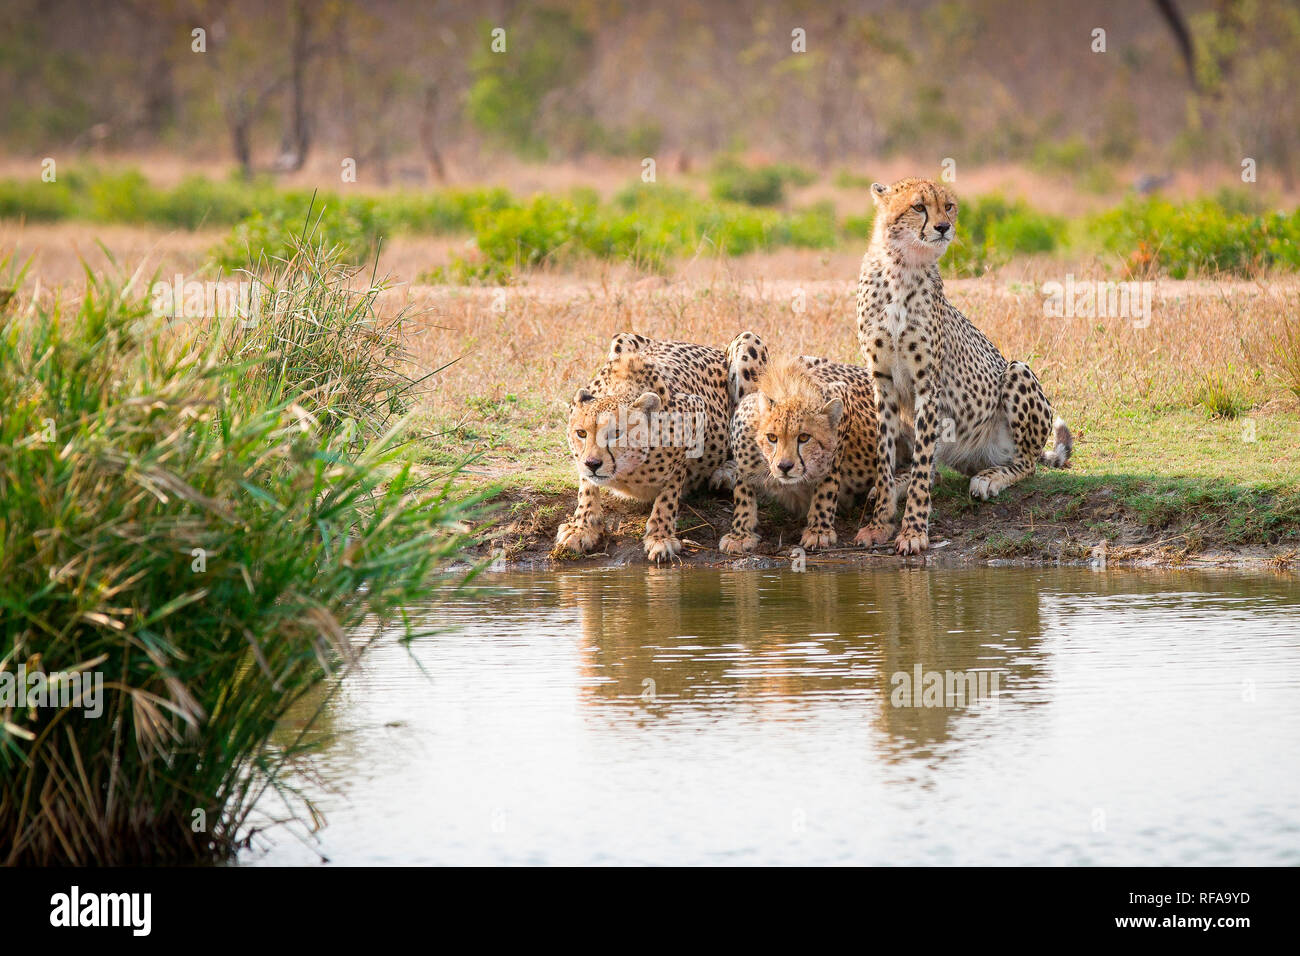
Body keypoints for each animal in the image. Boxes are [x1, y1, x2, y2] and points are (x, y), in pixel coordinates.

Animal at [555, 331, 767, 561]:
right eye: (581, 433)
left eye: (616, 433)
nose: (593, 463)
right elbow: (586, 488)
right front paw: (582, 527)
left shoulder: (694, 413)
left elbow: (669, 493)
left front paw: (660, 536)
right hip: (623, 338)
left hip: (748, 344)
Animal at [854, 177, 1073, 555]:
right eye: (918, 207)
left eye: (949, 206)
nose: (944, 227)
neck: (901, 268)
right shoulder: (882, 383)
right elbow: (887, 457)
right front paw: (880, 521)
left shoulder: (929, 385)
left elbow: (923, 466)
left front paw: (913, 531)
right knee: (934, 470)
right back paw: (898, 483)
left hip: (1016, 371)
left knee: (1027, 463)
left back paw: (990, 478)